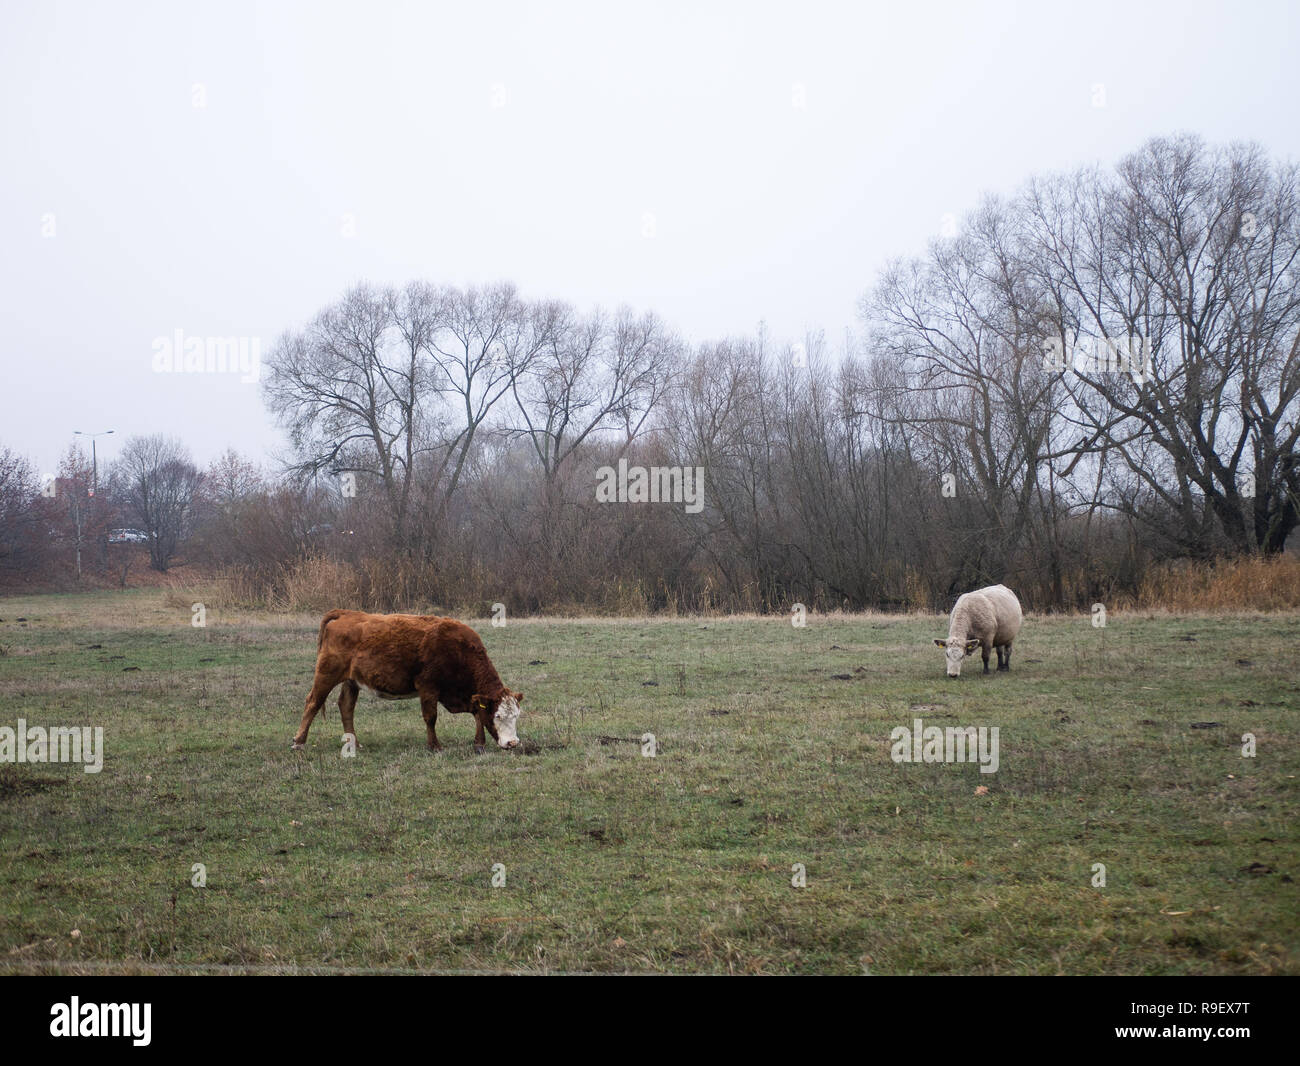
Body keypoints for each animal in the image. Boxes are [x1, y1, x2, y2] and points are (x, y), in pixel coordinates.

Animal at [291, 610, 524, 754]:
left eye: (516, 716)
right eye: (498, 715)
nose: (513, 743)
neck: (458, 649)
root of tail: (347, 613)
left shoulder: (466, 695)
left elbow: (477, 714)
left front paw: (479, 743)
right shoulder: (428, 688)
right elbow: (431, 717)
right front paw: (434, 746)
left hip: (351, 680)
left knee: (346, 707)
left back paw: (352, 742)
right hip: (326, 674)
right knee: (312, 702)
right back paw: (299, 742)